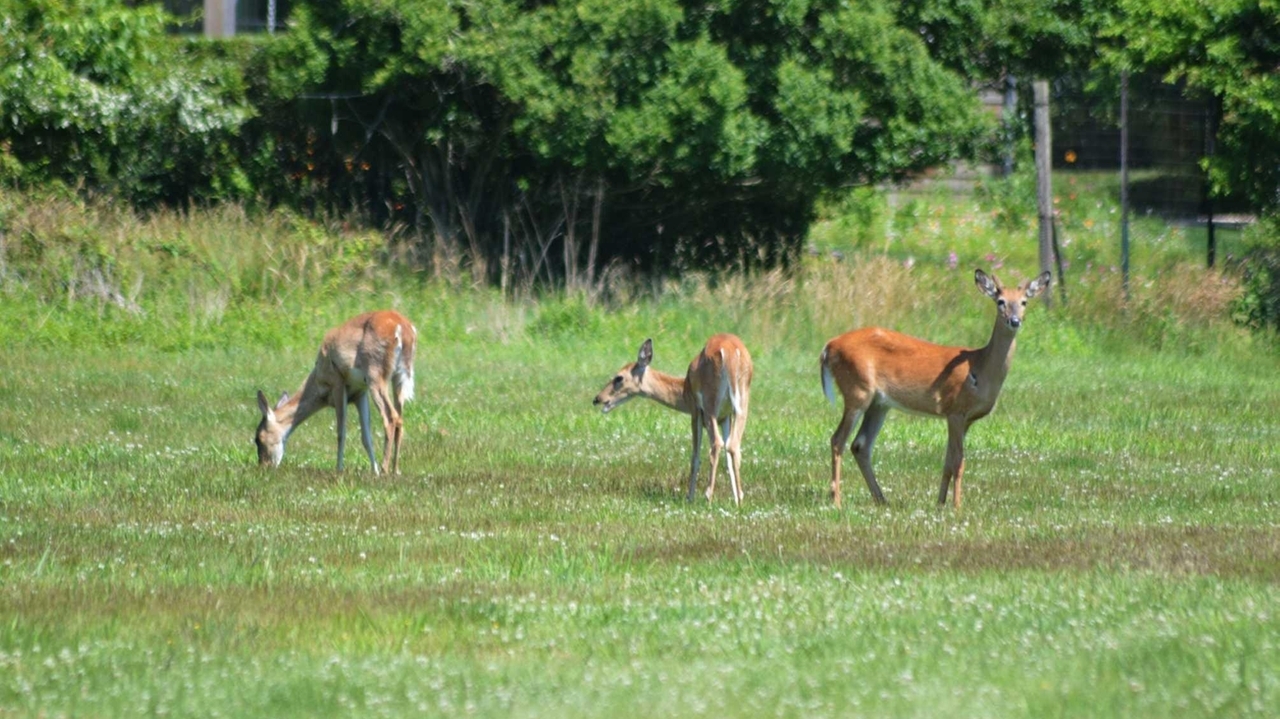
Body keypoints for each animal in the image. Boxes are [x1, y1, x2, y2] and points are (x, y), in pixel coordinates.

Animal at [254, 310, 417, 474]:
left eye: (258, 438)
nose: (264, 466)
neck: (319, 383)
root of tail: (403, 327)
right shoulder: (360, 393)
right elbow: (366, 436)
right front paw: (374, 471)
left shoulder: (337, 382)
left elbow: (341, 432)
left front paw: (339, 469)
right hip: (399, 377)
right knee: (400, 418)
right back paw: (395, 470)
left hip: (375, 374)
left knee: (390, 417)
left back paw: (385, 469)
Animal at [594, 335, 753, 505]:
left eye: (619, 377)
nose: (597, 398)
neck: (684, 390)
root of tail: (730, 353)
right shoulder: (725, 416)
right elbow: (728, 459)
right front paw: (735, 500)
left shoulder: (696, 410)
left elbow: (695, 457)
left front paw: (690, 498)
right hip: (741, 405)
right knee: (733, 445)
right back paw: (740, 499)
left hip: (710, 404)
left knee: (717, 443)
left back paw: (708, 496)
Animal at [820, 269, 1050, 508]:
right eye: (1000, 301)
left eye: (1024, 302)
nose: (1014, 320)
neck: (980, 369)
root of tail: (829, 346)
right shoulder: (955, 409)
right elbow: (958, 461)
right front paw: (957, 506)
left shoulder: (964, 419)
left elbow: (948, 461)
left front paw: (940, 503)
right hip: (857, 390)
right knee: (837, 440)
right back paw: (837, 500)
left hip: (879, 403)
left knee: (860, 445)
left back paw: (882, 499)